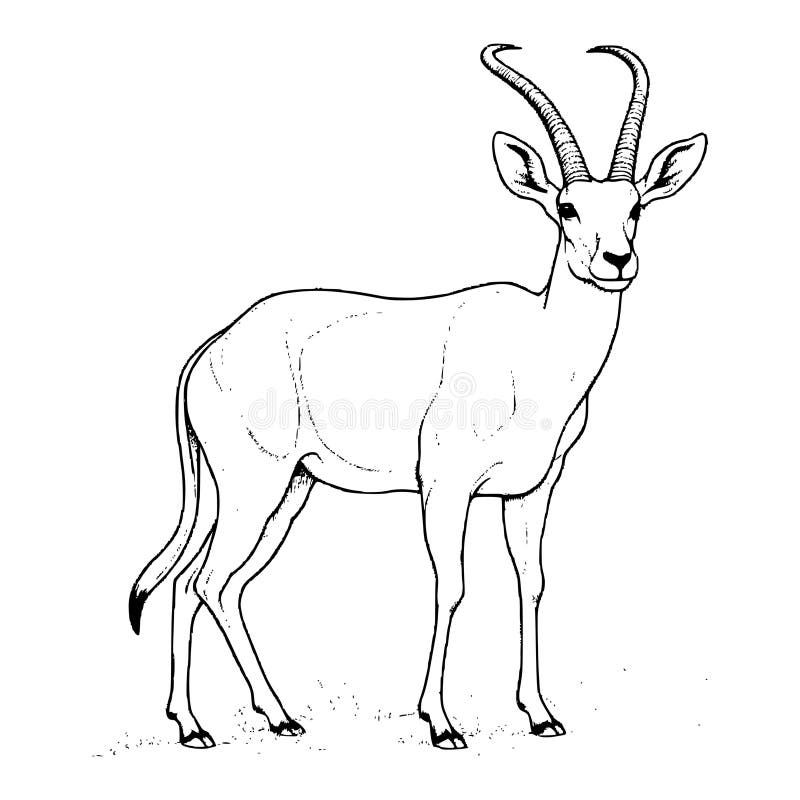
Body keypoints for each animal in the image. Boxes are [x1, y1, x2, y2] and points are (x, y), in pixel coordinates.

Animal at [129, 43, 707, 750]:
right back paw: (207, 725)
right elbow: (450, 586)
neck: (536, 348)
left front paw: (541, 715)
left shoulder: (532, 490)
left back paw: (256, 718)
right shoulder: (444, 485)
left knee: (207, 584)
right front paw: (442, 723)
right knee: (204, 580)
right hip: (252, 485)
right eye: (568, 207)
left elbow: (532, 583)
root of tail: (209, 349)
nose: (615, 261)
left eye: (636, 207)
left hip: (287, 489)